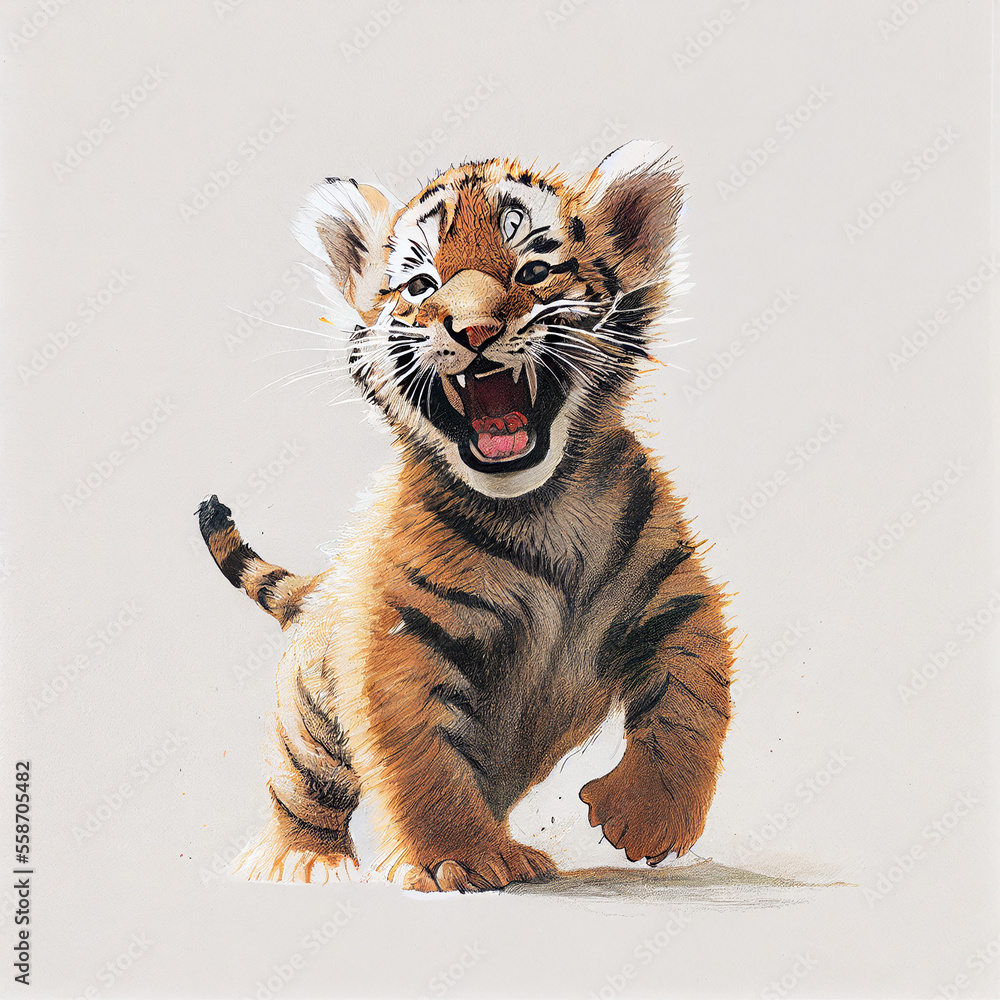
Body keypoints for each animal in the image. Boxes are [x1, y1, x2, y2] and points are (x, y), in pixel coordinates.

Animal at [198, 140, 734, 892]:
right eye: (423, 286)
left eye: (534, 270)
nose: (475, 330)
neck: (542, 510)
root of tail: (320, 588)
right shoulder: (399, 639)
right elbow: (422, 756)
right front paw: (458, 858)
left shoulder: (676, 598)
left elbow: (692, 698)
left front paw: (648, 817)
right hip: (310, 720)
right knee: (300, 787)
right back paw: (303, 859)